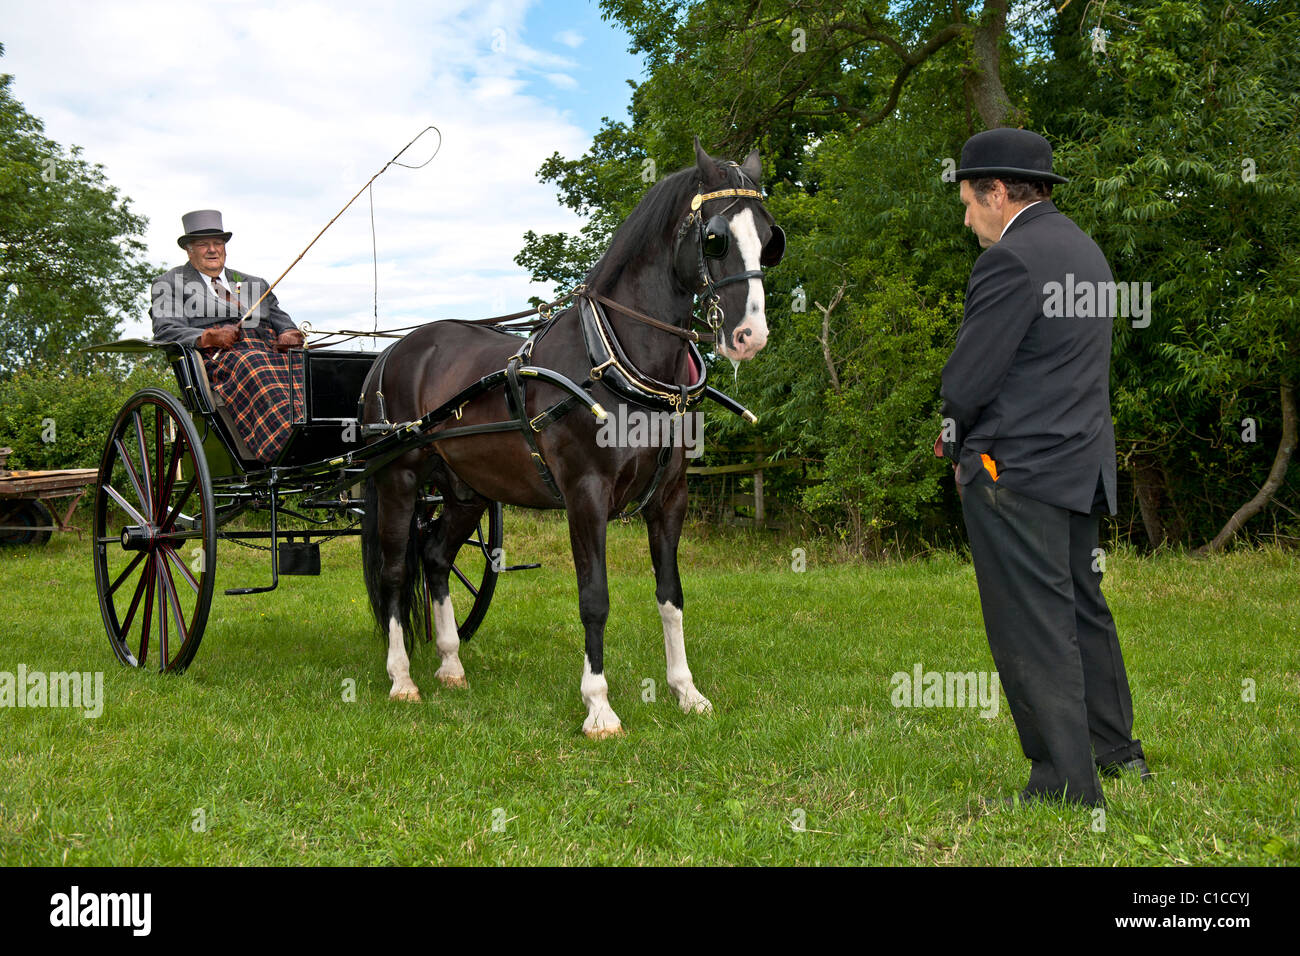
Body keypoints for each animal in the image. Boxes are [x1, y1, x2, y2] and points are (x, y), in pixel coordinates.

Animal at [359, 137, 785, 737]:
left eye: (769, 240)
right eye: (715, 238)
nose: (750, 336)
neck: (615, 359)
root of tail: (394, 350)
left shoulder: (670, 498)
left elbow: (671, 596)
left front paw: (686, 692)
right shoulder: (586, 493)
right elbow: (594, 599)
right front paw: (599, 707)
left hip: (468, 489)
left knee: (437, 556)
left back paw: (450, 664)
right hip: (397, 478)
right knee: (397, 570)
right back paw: (402, 678)